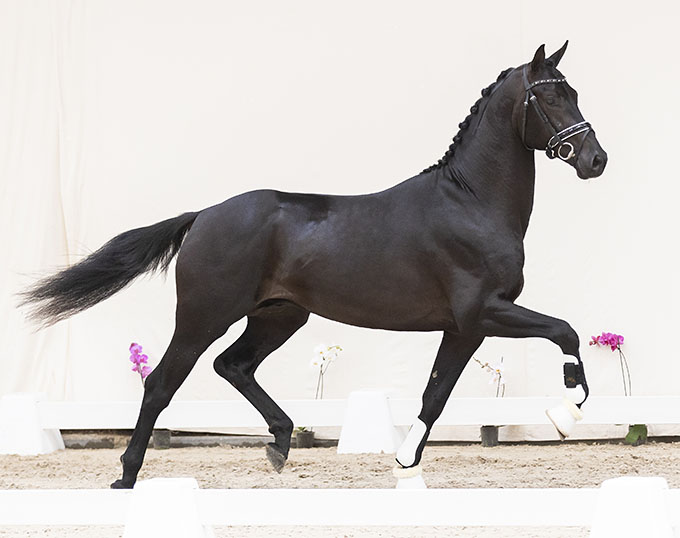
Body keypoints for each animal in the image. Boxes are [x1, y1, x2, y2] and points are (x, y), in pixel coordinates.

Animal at [22, 41, 607, 488]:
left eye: (574, 92)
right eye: (548, 96)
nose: (595, 160)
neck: (470, 202)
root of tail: (203, 215)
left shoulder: (465, 326)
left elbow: (436, 394)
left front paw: (405, 461)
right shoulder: (485, 311)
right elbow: (565, 331)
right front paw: (566, 411)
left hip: (279, 315)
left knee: (233, 366)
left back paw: (280, 444)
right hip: (203, 317)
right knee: (162, 384)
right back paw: (126, 476)